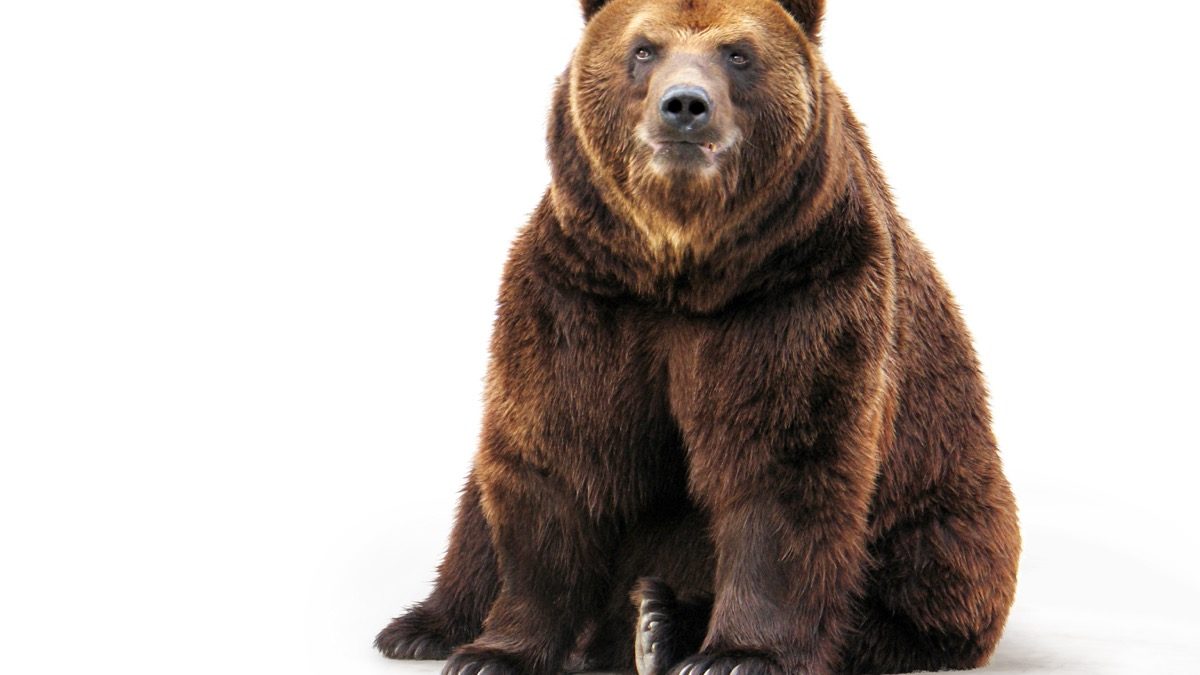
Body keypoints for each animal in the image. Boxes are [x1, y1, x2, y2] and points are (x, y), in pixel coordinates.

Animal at [376, 1, 1020, 674]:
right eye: (643, 49)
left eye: (738, 53)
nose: (685, 105)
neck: (681, 271)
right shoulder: (580, 294)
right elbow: (557, 454)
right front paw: (494, 652)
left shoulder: (799, 293)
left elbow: (781, 466)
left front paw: (736, 653)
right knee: (477, 508)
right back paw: (425, 626)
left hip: (944, 506)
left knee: (921, 580)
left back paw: (661, 622)